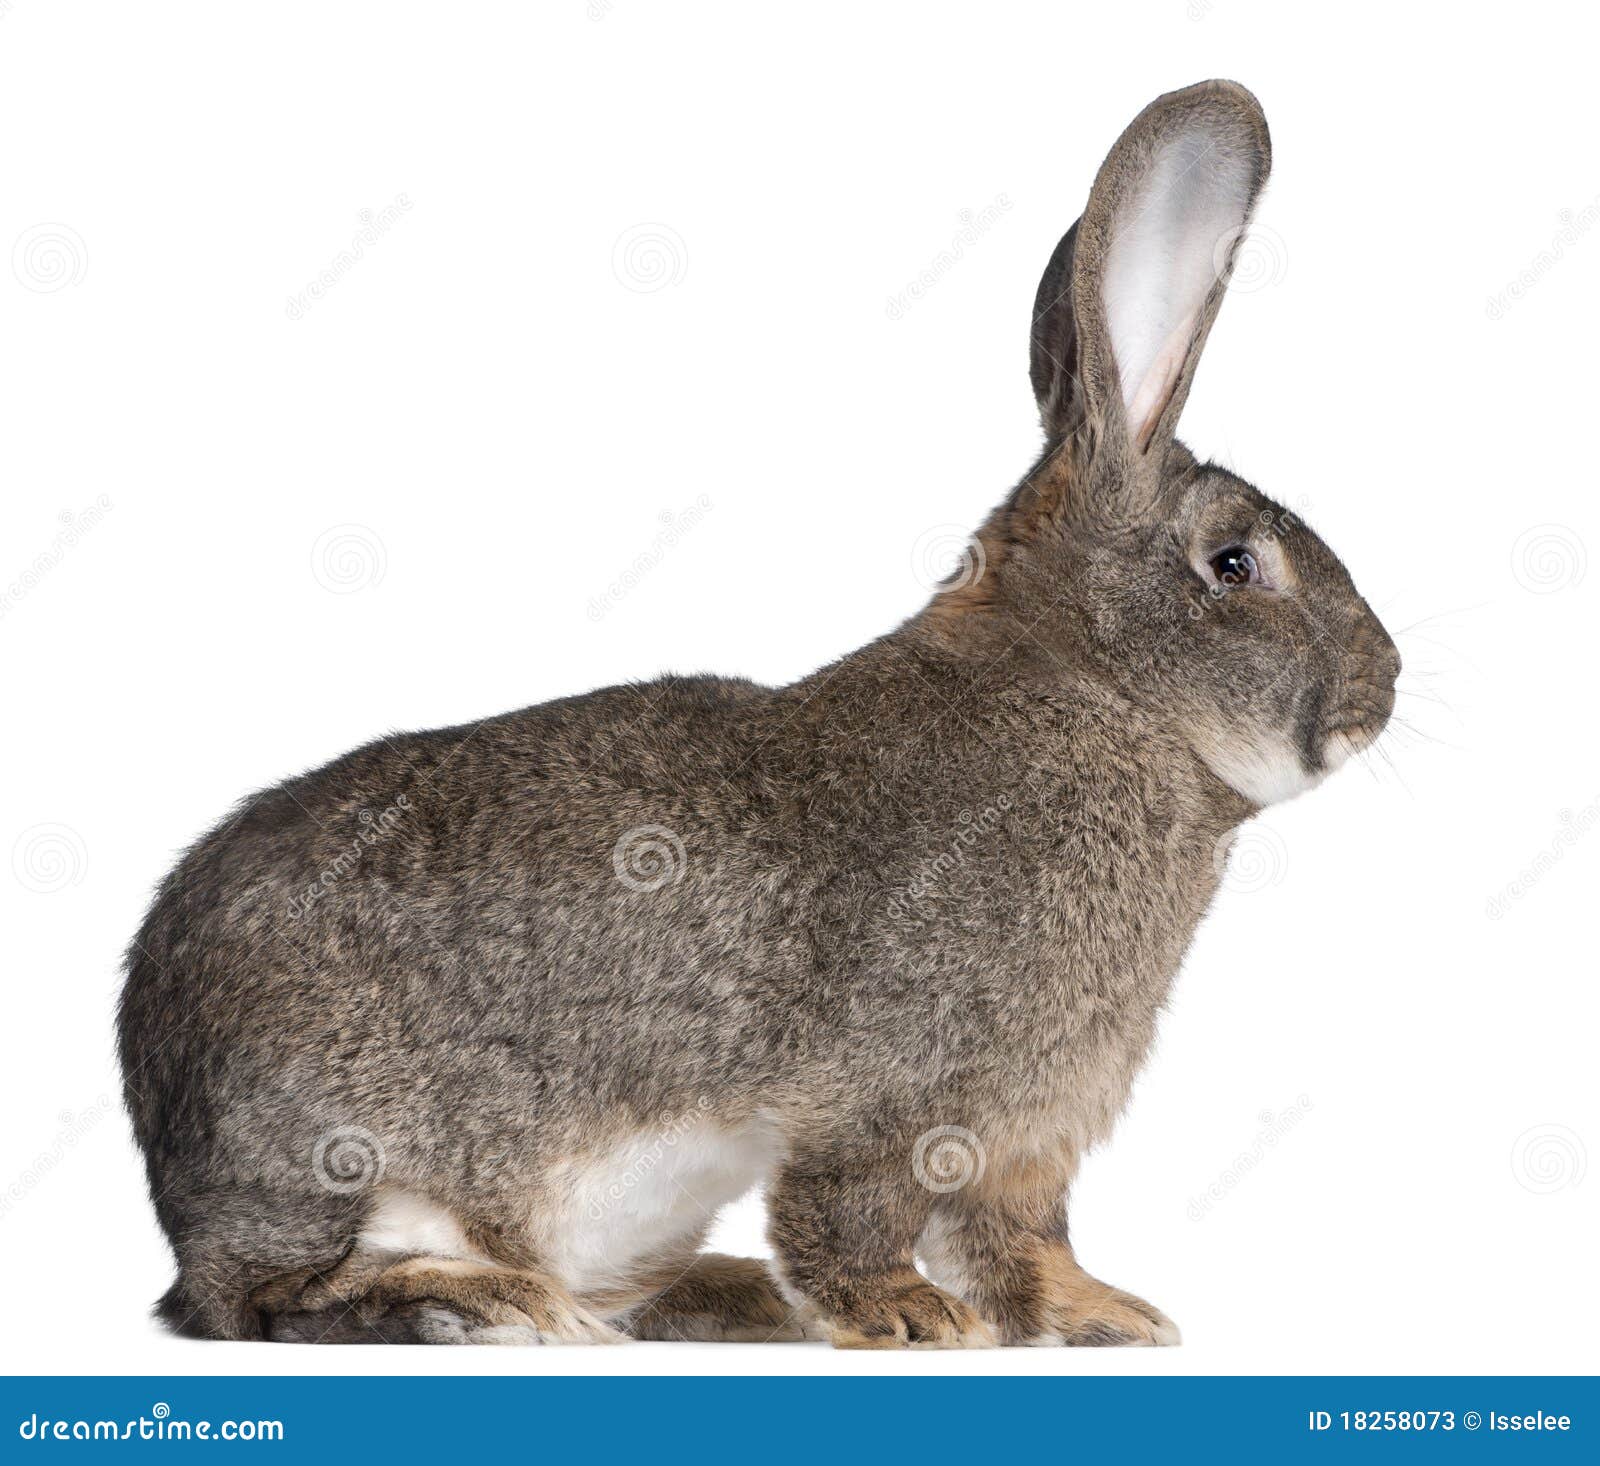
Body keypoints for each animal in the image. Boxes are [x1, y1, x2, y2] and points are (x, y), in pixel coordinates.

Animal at [118, 79, 1399, 1349]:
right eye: (1234, 564)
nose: (1381, 686)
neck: (1098, 689)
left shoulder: (1029, 1134)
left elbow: (1026, 1240)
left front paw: (1108, 1316)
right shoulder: (895, 1093)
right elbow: (858, 1206)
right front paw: (906, 1317)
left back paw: (719, 1293)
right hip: (345, 1162)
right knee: (272, 1298)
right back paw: (483, 1300)